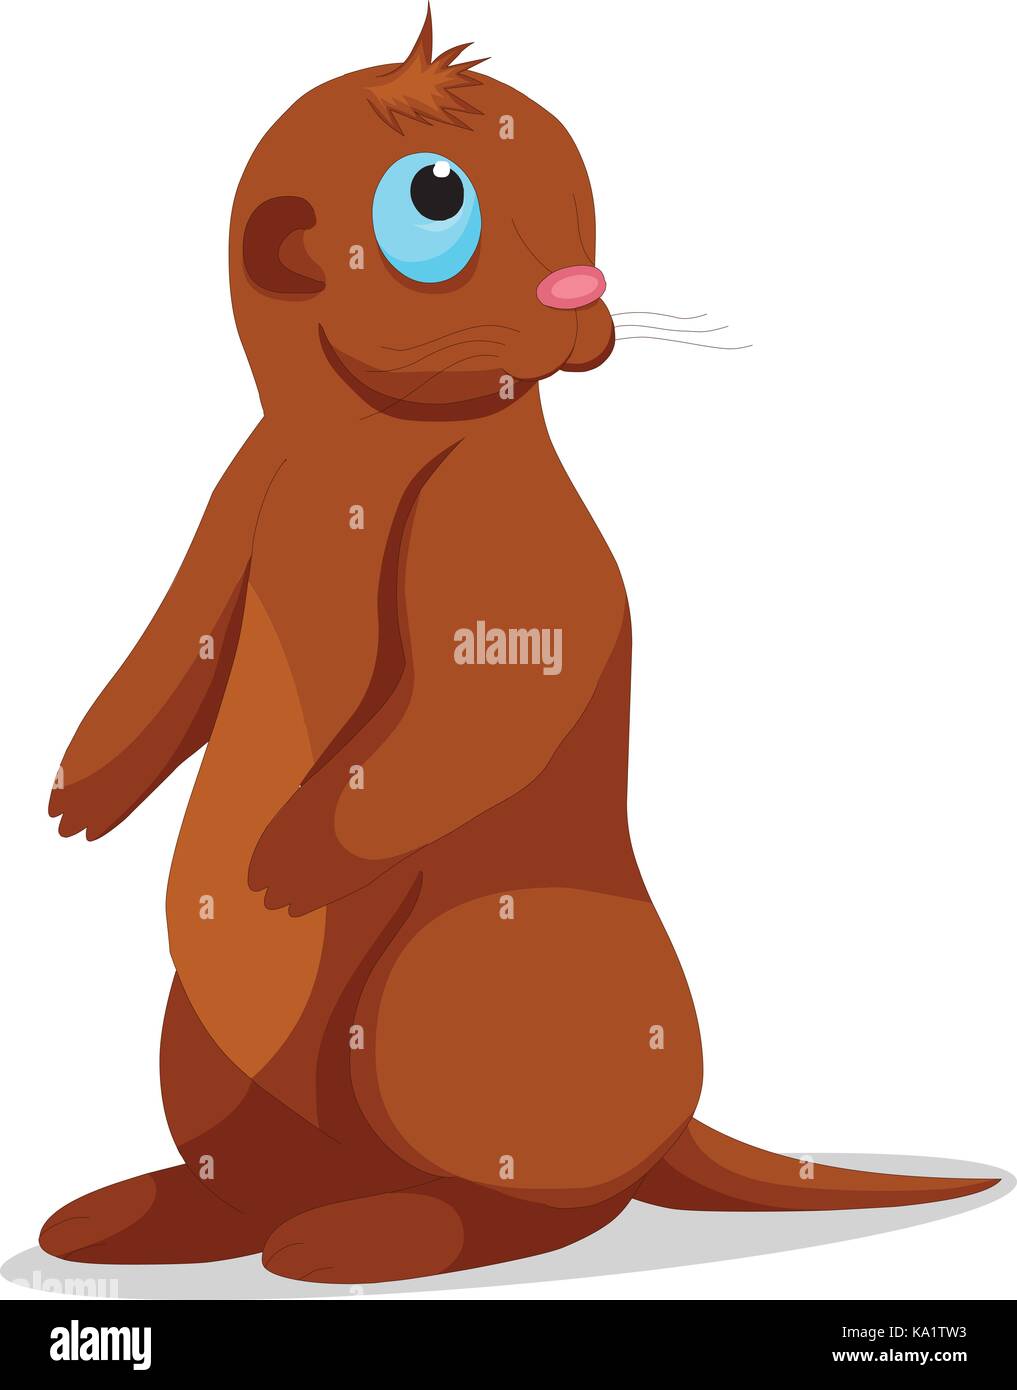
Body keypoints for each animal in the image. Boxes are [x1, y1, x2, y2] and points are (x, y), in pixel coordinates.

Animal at [42, 10, 995, 1283]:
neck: (355, 440)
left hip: (446, 982)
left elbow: (490, 693)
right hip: (196, 1035)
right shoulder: (241, 489)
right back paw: (155, 1214)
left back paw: (385, 1231)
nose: (585, 289)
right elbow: (174, 641)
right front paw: (80, 788)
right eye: (435, 197)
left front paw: (297, 850)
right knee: (245, 1164)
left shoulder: (505, 528)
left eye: (579, 188)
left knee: (548, 1205)